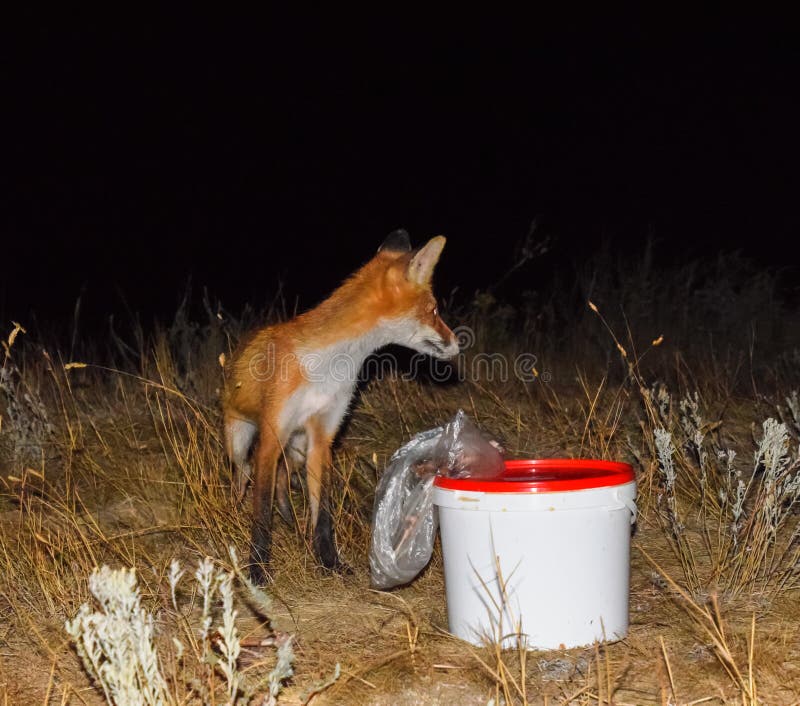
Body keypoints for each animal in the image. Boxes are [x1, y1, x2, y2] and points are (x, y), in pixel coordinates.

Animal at [222, 229, 459, 583]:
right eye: (433, 310)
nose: (458, 343)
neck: (327, 367)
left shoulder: (322, 437)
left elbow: (323, 513)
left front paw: (330, 563)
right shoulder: (272, 433)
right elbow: (261, 512)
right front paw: (258, 570)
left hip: (297, 448)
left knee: (282, 481)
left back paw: (290, 522)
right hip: (240, 442)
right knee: (244, 475)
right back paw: (238, 512)